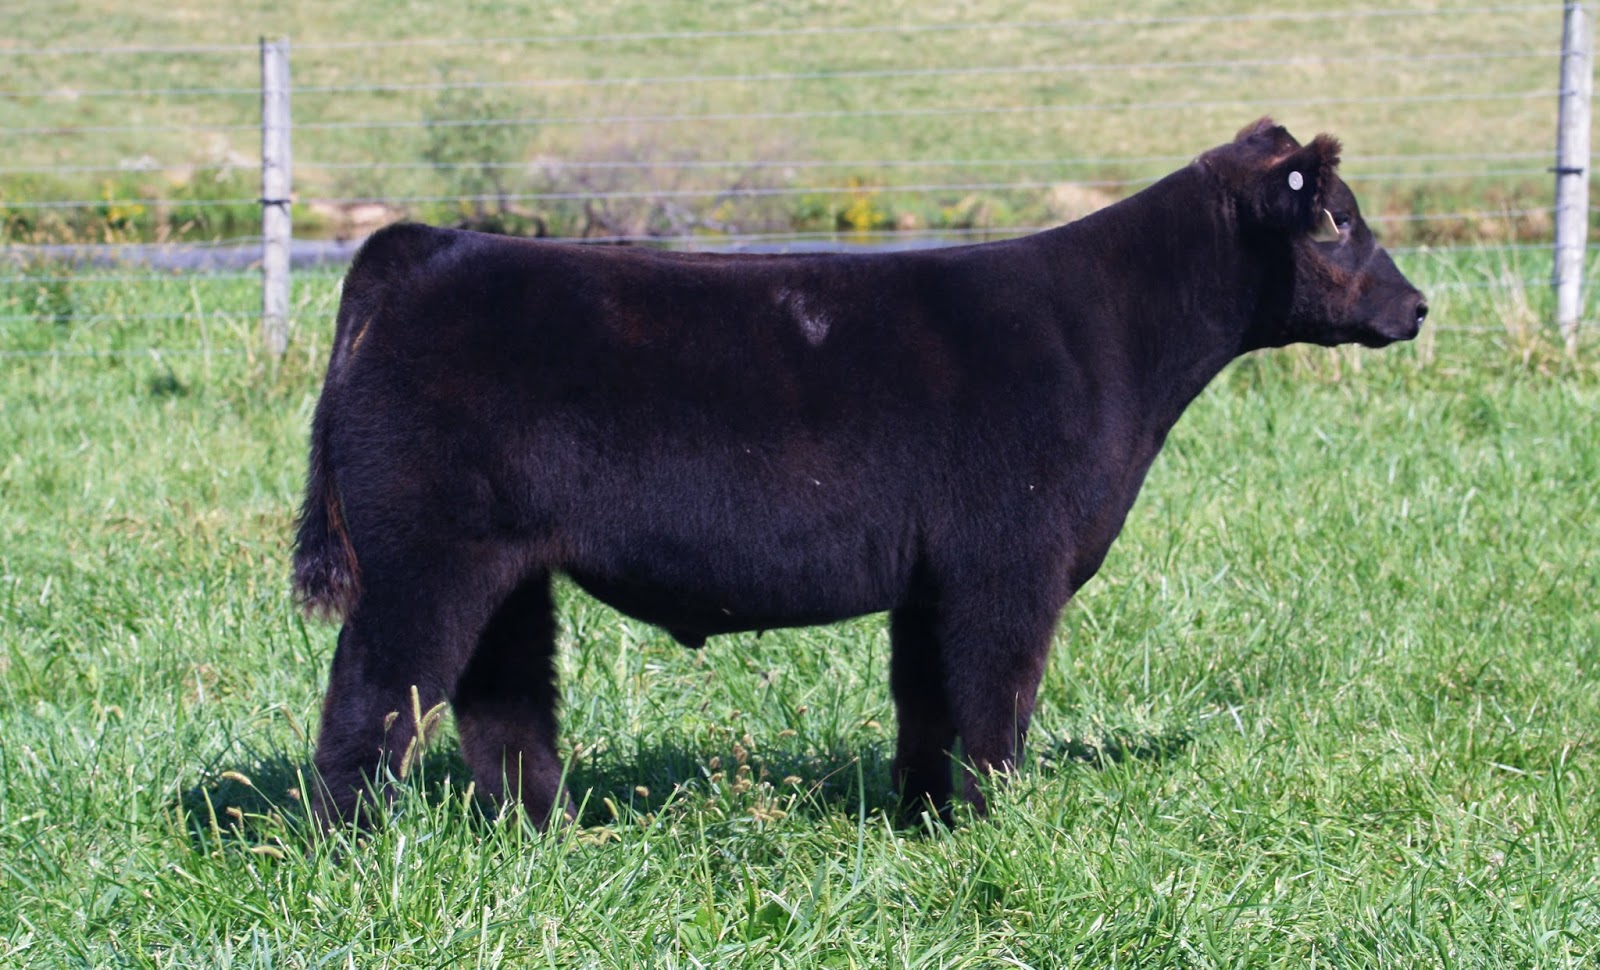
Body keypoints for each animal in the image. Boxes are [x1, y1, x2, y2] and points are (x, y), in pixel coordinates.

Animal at [293, 119, 1426, 828]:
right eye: (1335, 218)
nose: (1416, 305)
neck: (1108, 339)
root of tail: (428, 246)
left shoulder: (932, 581)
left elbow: (927, 705)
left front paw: (924, 821)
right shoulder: (1009, 568)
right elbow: (996, 706)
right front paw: (1002, 825)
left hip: (508, 569)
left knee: (503, 703)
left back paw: (544, 837)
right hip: (422, 560)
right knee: (370, 700)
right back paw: (353, 849)